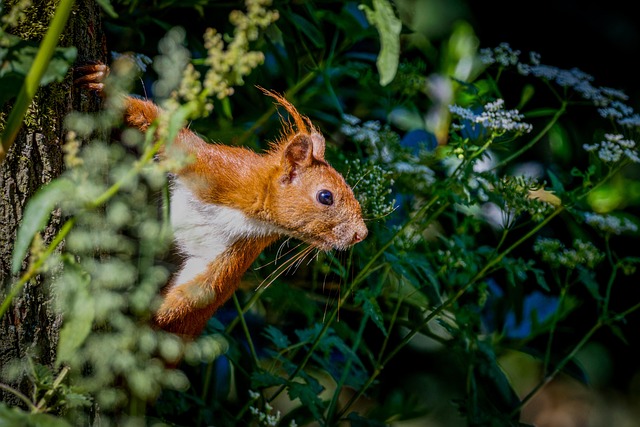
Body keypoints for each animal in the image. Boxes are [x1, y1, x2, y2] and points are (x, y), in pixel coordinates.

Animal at [74, 62, 368, 339]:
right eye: (325, 196)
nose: (361, 234)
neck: (247, 207)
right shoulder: (212, 167)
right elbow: (158, 125)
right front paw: (106, 83)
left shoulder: (233, 250)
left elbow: (201, 292)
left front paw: (149, 321)